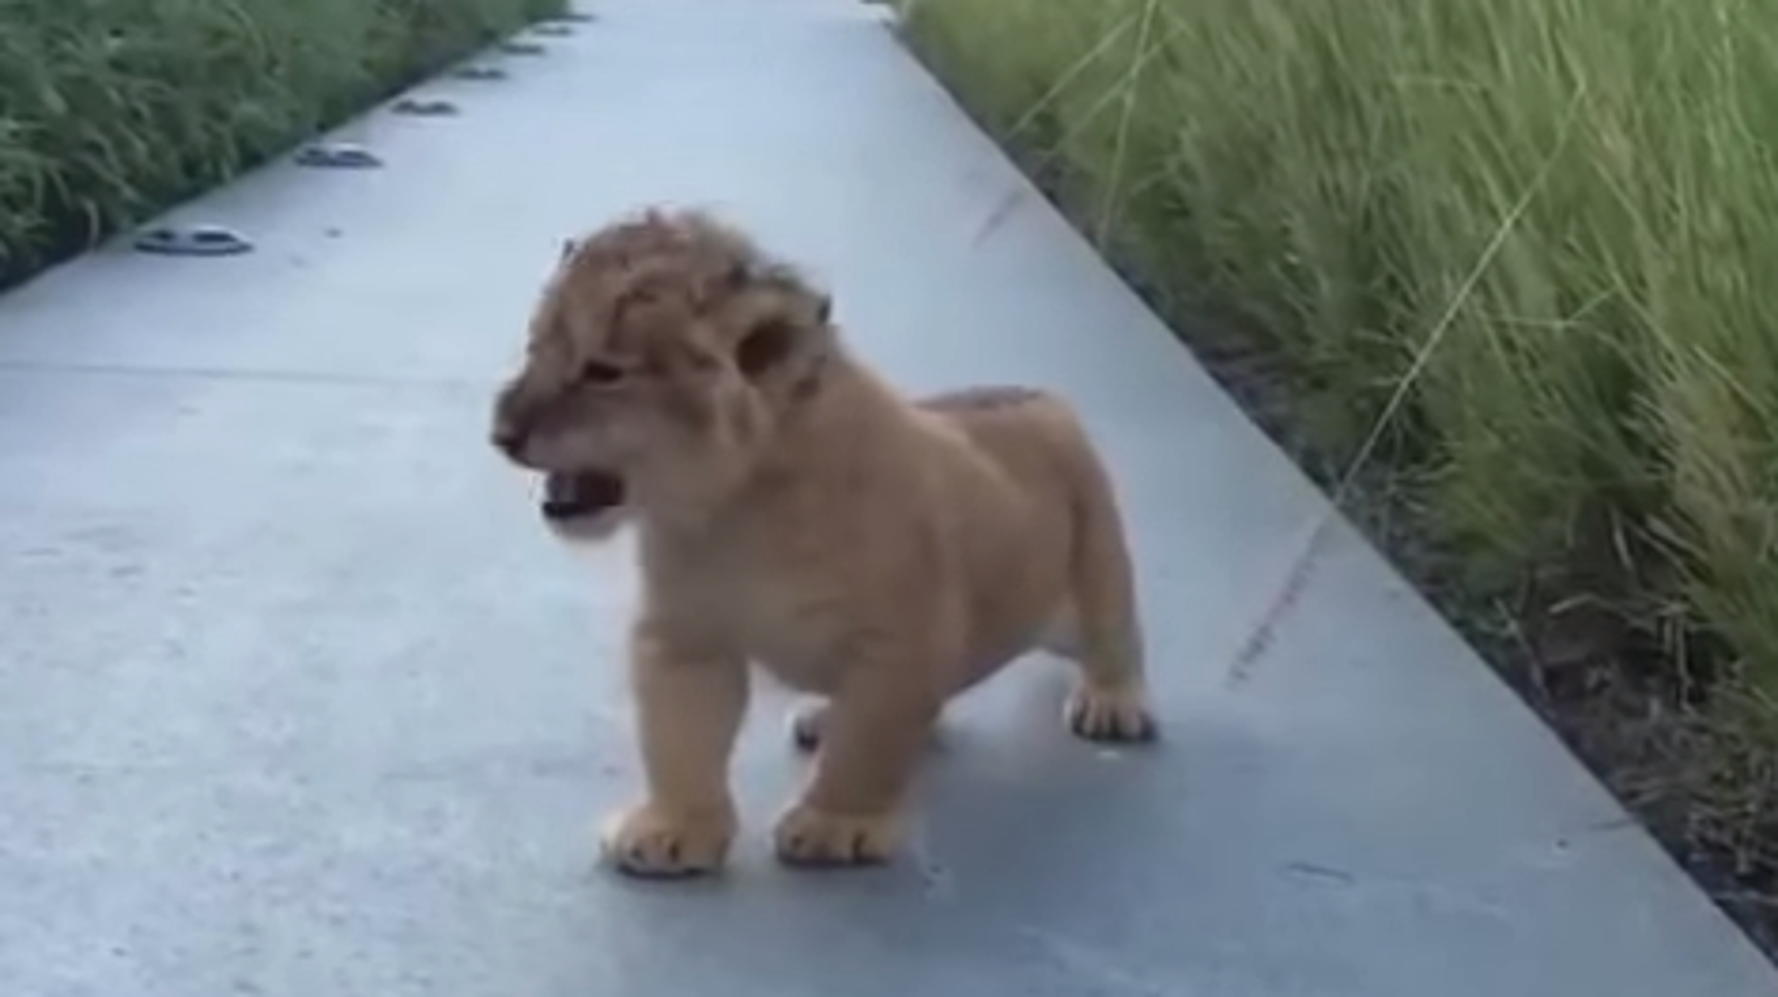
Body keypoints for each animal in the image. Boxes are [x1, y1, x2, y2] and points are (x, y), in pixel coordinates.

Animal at [489, 206, 1157, 878]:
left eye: (603, 371)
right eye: (535, 348)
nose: (501, 435)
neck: (734, 512)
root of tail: (1033, 393)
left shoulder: (899, 642)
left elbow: (866, 746)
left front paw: (835, 826)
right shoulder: (686, 636)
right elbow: (679, 740)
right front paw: (671, 830)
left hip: (1091, 569)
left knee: (1114, 636)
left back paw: (1112, 704)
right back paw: (824, 716)